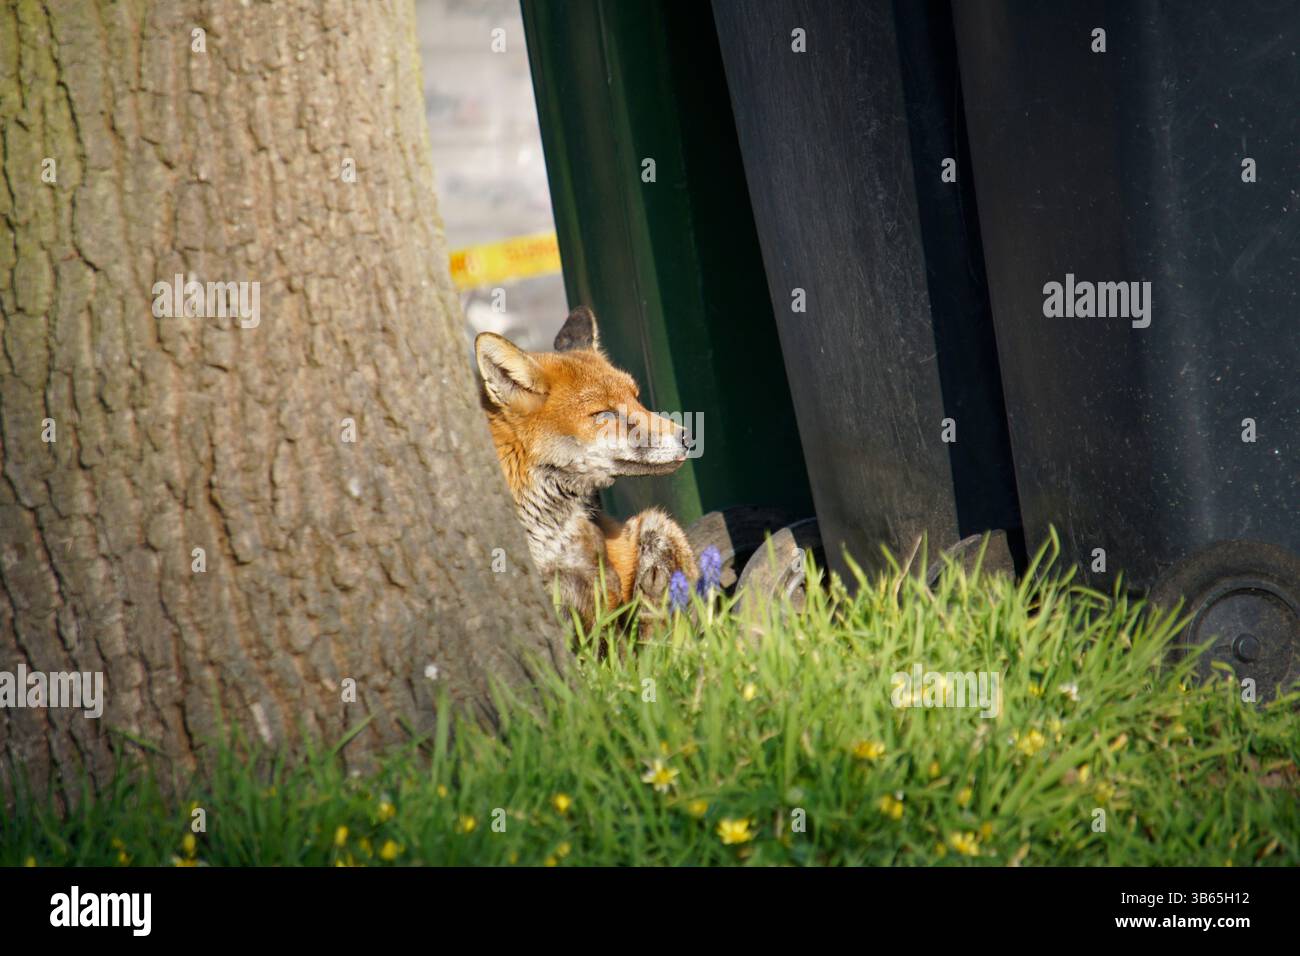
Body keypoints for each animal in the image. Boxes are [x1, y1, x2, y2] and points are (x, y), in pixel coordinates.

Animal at [475, 306, 698, 626]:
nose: (688, 436)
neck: (544, 532)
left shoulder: (594, 577)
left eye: (637, 398)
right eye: (604, 414)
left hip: (656, 526)